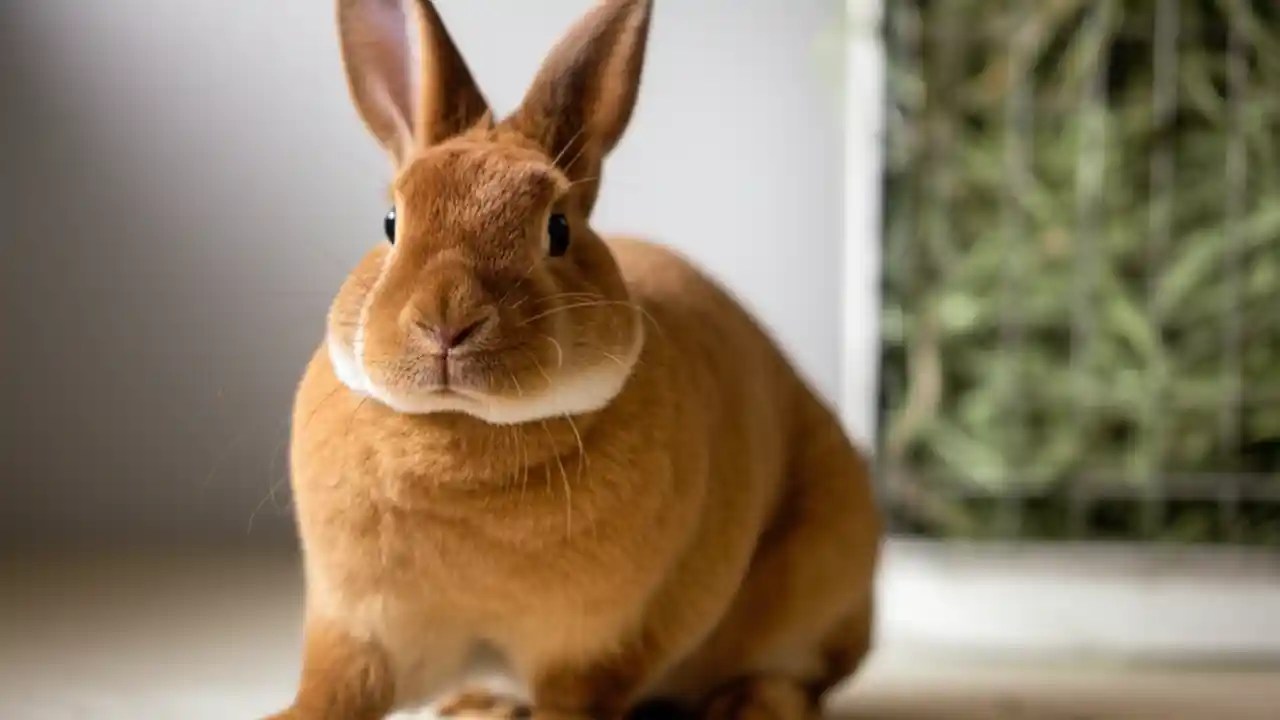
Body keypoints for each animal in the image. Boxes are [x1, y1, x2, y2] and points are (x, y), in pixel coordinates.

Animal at [266, 1, 881, 719]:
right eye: (391, 221)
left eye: (557, 230)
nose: (446, 322)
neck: (459, 430)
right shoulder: (359, 626)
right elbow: (335, 686)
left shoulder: (602, 644)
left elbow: (576, 696)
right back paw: (478, 703)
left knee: (804, 677)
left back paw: (749, 706)